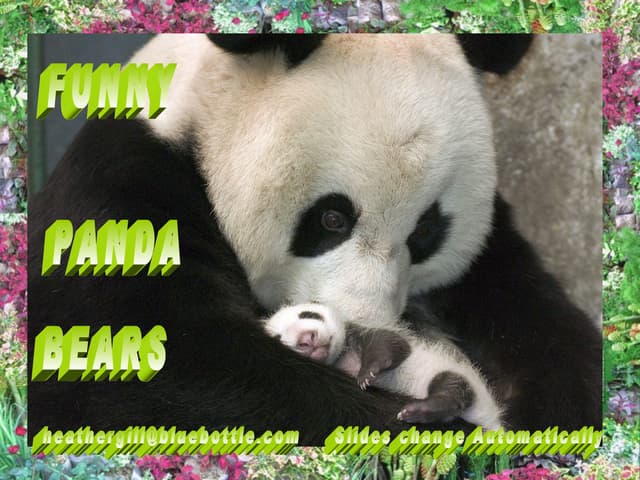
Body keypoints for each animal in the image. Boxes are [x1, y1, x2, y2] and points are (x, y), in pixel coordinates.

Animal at [28, 34, 601, 445]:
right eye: (331, 219)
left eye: (425, 232)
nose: (364, 325)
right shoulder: (124, 197)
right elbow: (155, 372)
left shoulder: (491, 259)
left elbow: (547, 335)